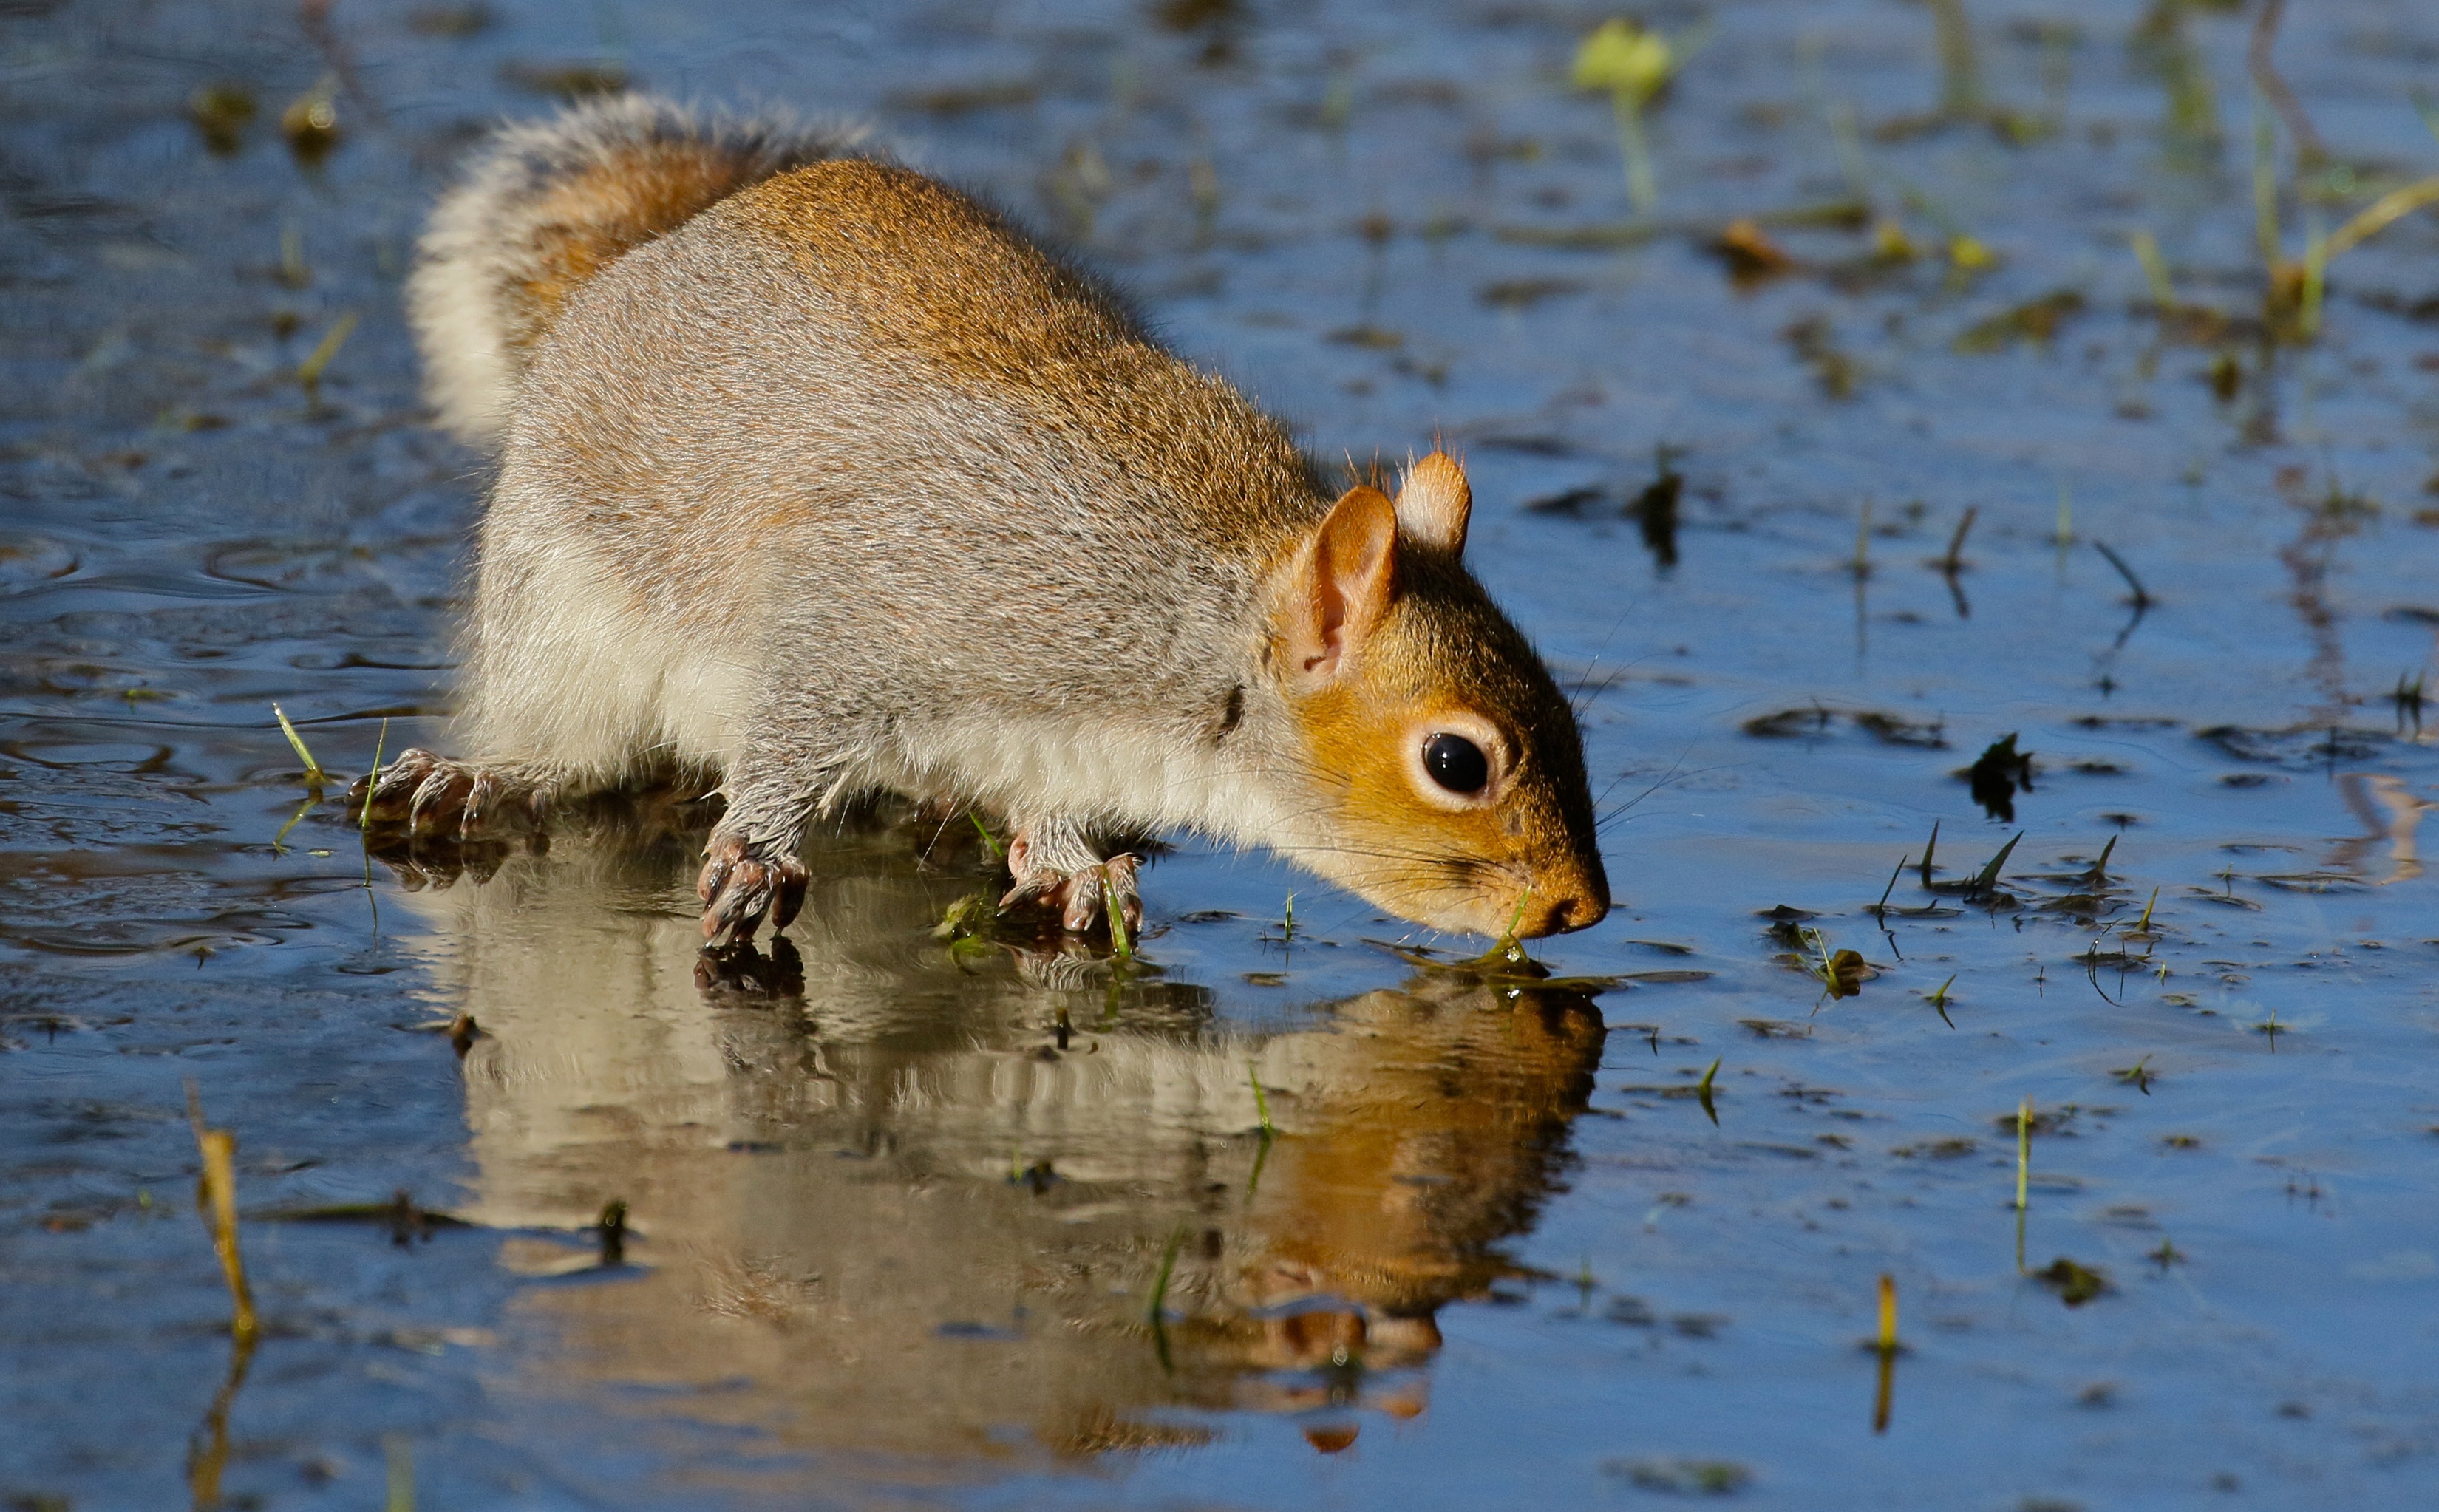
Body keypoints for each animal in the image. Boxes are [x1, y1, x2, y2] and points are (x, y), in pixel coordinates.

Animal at [355, 95, 1610, 947]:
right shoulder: (880, 608)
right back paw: (490, 775)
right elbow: (791, 724)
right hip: (557, 604)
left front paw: (1074, 863)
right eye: (1457, 761)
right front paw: (756, 851)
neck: (1181, 636)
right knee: (565, 738)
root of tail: (661, 249)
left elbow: (1050, 805)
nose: (1581, 908)